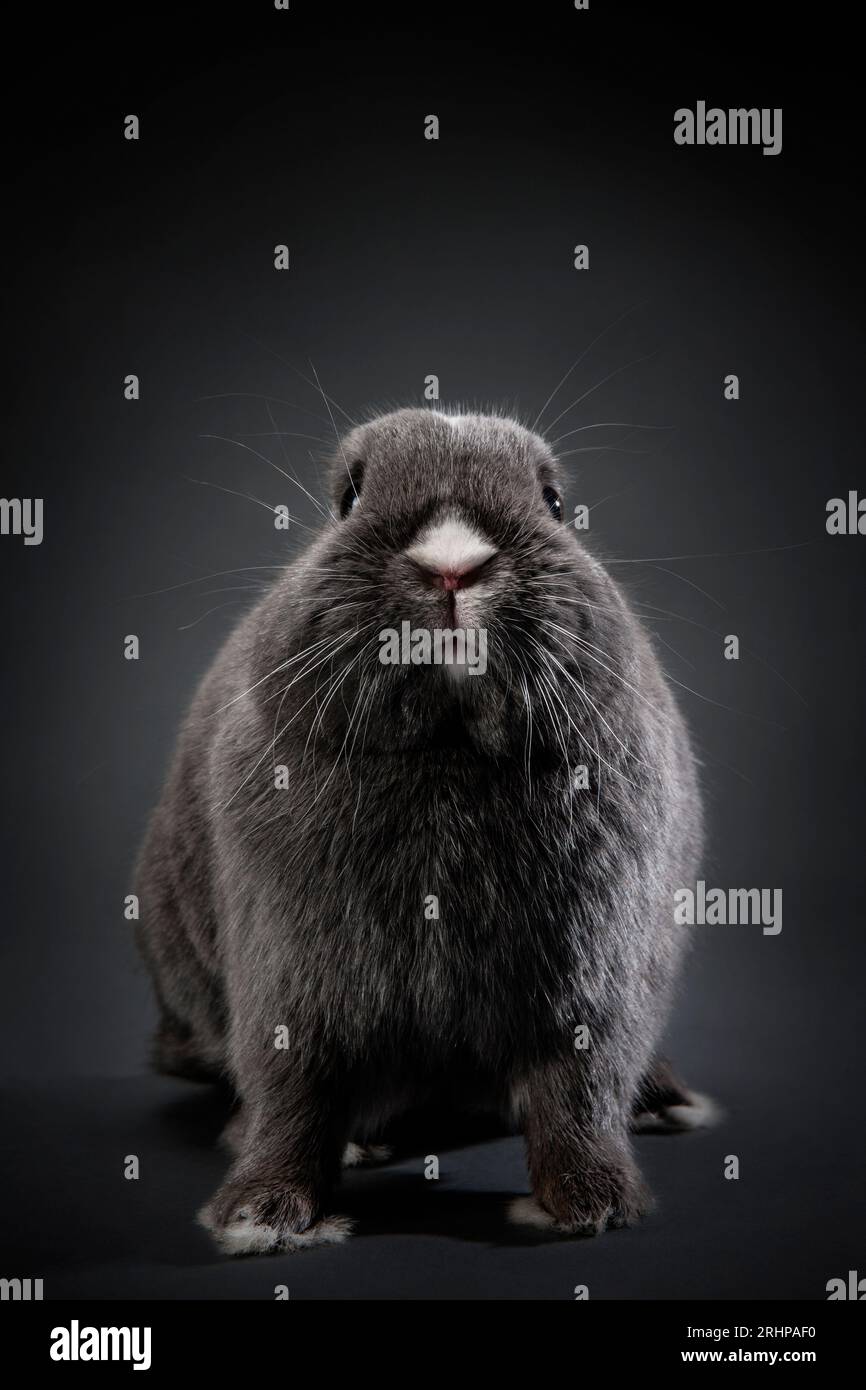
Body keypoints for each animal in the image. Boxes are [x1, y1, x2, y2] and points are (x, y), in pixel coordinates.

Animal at [135, 406, 713, 1255]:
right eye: (347, 496)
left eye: (554, 500)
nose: (451, 565)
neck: (446, 748)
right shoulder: (288, 985)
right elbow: (292, 1100)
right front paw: (260, 1213)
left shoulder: (595, 982)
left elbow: (581, 1093)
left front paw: (590, 1203)